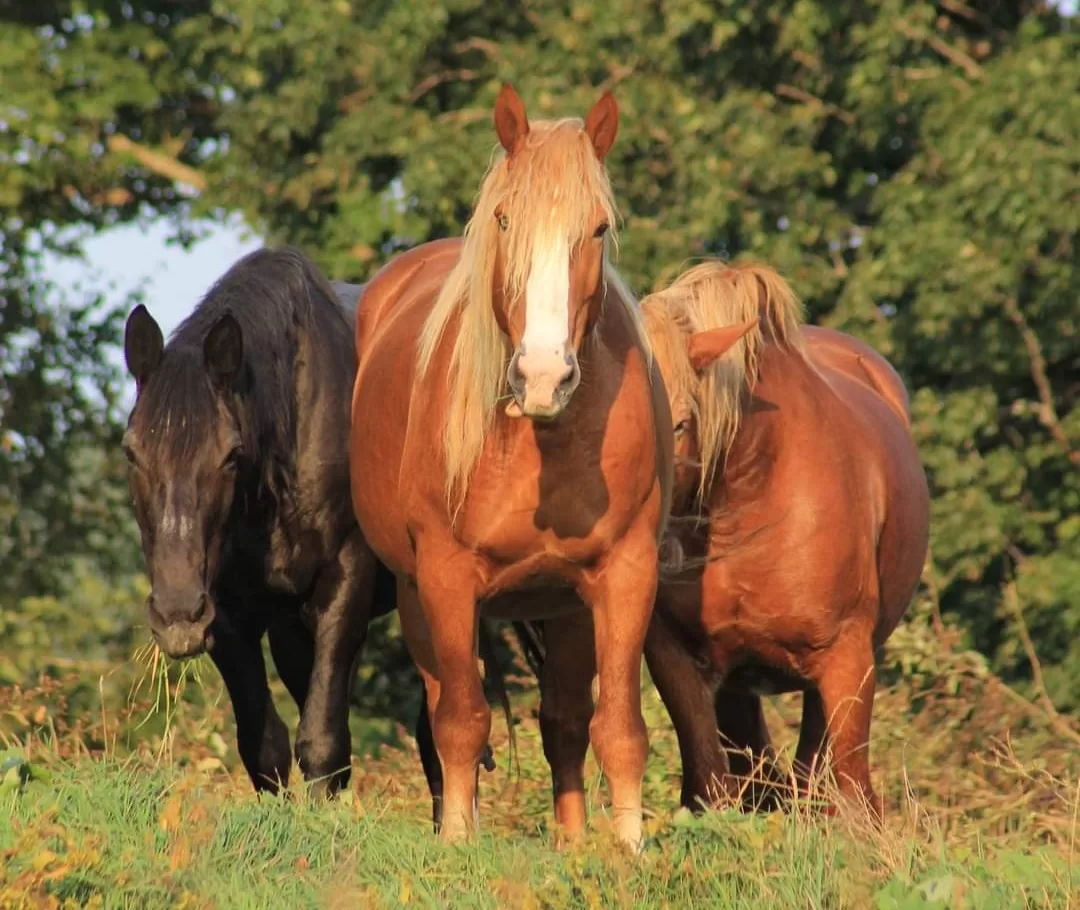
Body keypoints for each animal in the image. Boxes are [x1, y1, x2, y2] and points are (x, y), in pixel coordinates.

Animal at [122, 247, 508, 800]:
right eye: (131, 452)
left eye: (231, 455)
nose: (178, 615)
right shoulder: (231, 612)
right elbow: (265, 747)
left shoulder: (345, 578)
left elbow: (325, 746)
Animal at [348, 84, 673, 847]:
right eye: (503, 219)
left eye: (598, 229)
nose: (543, 377)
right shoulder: (444, 577)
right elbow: (462, 723)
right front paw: (458, 845)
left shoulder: (624, 573)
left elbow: (619, 727)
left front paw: (628, 850)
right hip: (418, 597)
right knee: (449, 708)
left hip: (566, 606)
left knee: (565, 726)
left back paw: (574, 842)